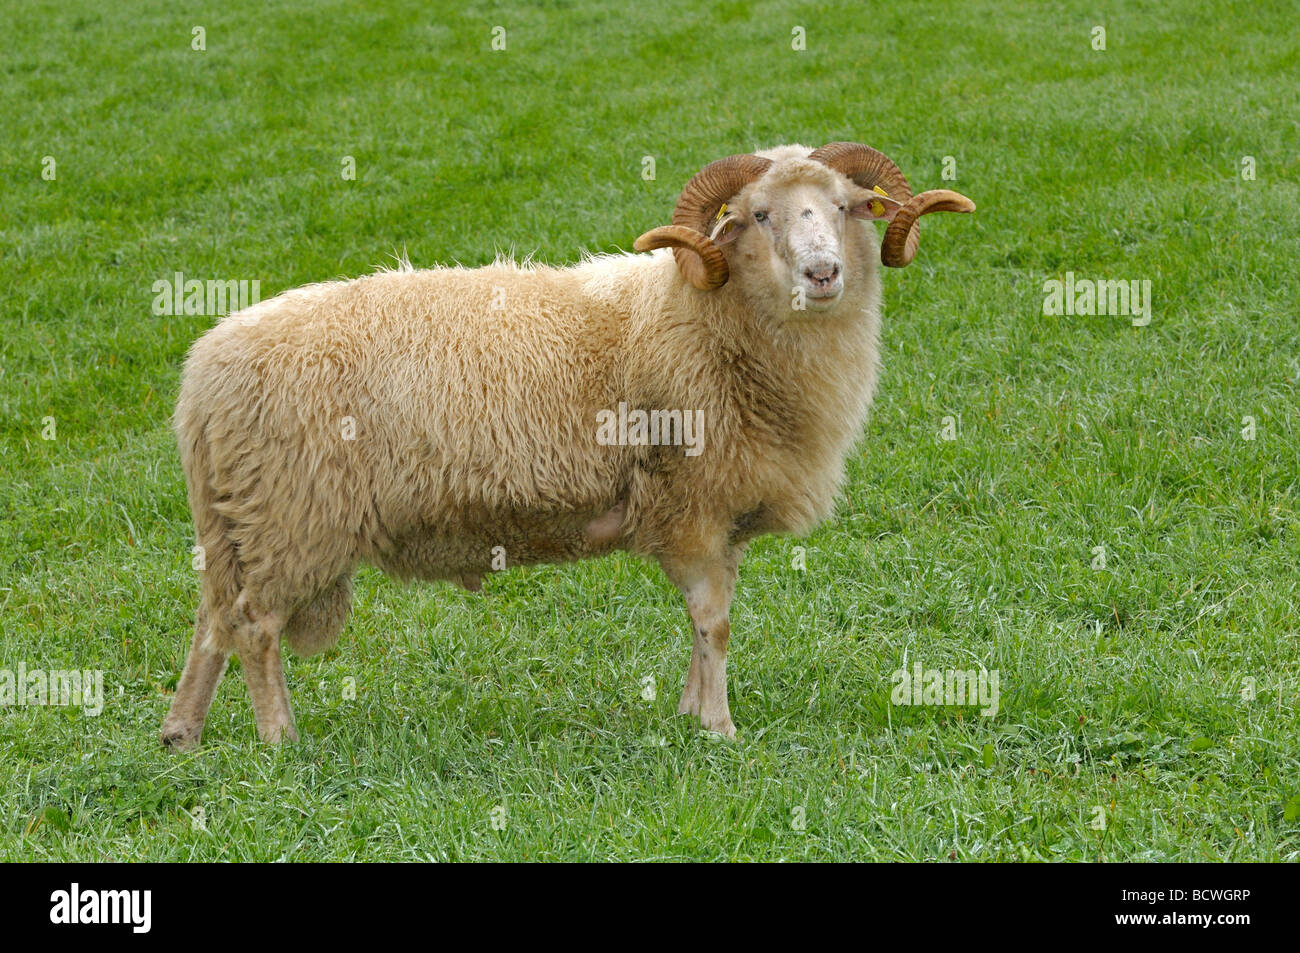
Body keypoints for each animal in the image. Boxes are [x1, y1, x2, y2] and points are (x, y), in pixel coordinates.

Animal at [160, 141, 974, 748]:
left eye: (844, 206)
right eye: (757, 216)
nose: (823, 272)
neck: (700, 318)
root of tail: (203, 372)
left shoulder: (720, 515)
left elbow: (704, 624)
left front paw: (688, 712)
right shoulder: (688, 508)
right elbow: (714, 622)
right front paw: (719, 729)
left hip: (239, 520)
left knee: (213, 619)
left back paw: (181, 736)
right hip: (293, 515)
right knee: (256, 627)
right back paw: (281, 740)